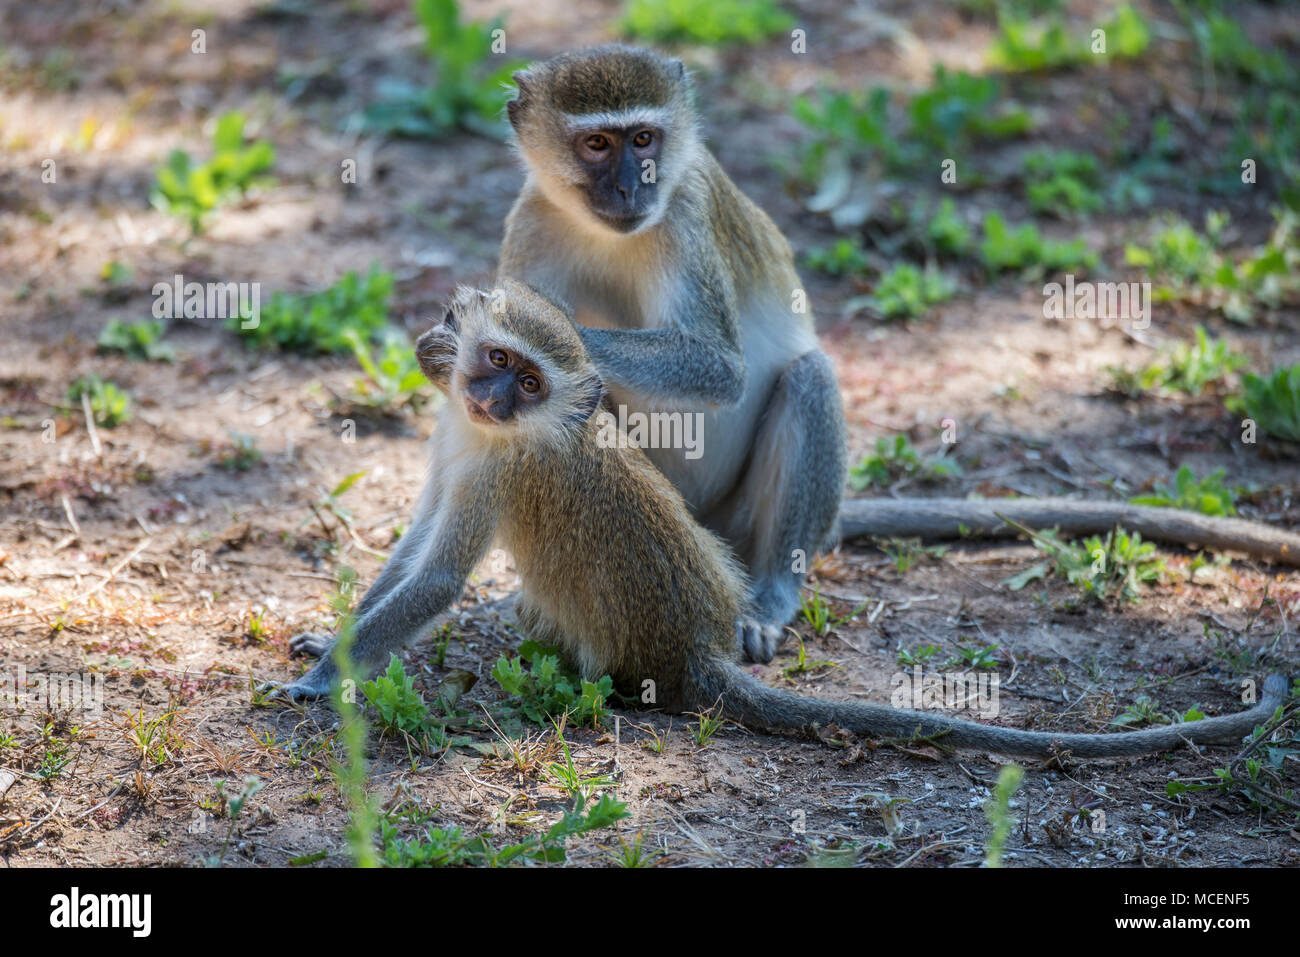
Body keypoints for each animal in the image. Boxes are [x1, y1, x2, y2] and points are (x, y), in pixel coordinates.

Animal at [268, 281, 1290, 760]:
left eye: (527, 380)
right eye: (494, 360)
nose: (486, 393)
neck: (494, 431)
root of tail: (695, 646)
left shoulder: (500, 467)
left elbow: (437, 578)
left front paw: (324, 678)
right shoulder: (457, 442)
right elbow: (408, 553)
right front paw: (331, 635)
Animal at [494, 43, 1300, 667]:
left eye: (644, 141)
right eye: (598, 145)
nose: (634, 187)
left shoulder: (686, 211)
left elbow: (719, 365)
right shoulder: (530, 225)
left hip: (740, 522)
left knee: (808, 380)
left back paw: (770, 595)